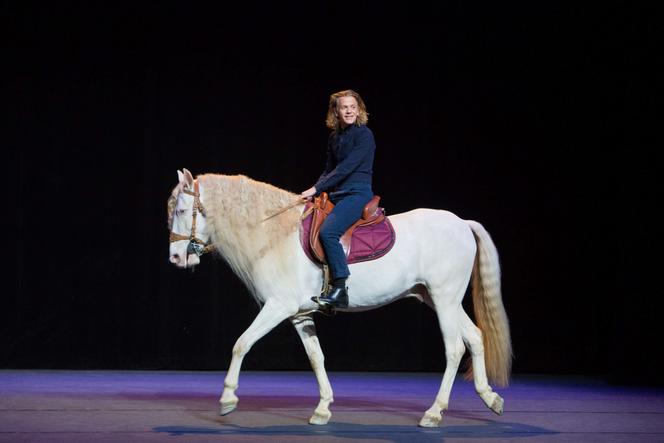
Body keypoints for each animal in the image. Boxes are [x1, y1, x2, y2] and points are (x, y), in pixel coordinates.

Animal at [167, 168, 512, 428]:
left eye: (182, 211)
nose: (175, 258)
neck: (275, 233)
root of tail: (462, 223)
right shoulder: (300, 315)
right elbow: (316, 358)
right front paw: (322, 409)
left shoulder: (278, 306)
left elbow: (241, 344)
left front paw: (227, 399)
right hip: (439, 299)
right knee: (475, 338)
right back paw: (490, 397)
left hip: (444, 299)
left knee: (454, 349)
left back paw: (434, 412)